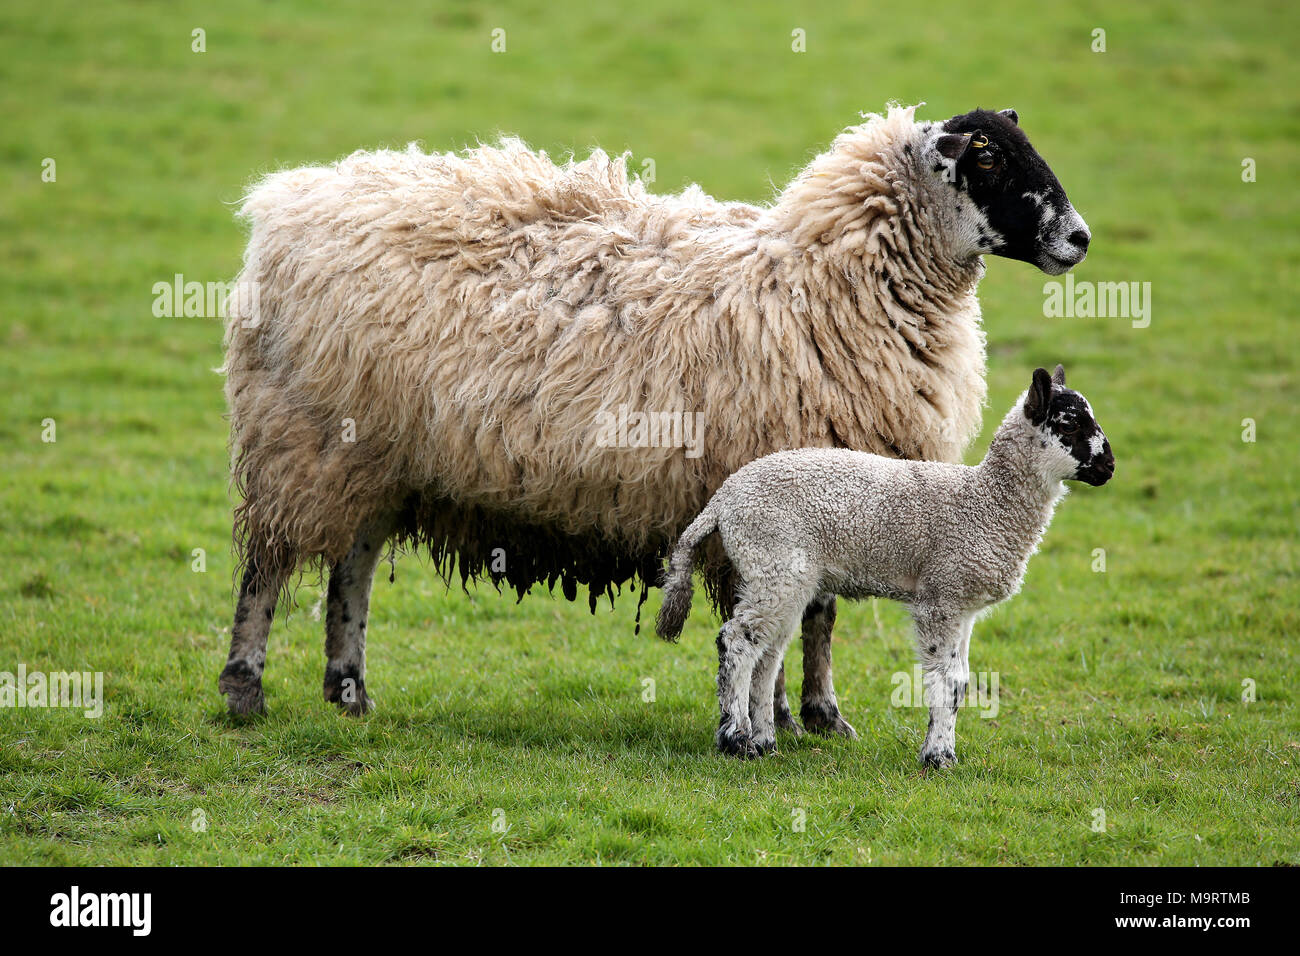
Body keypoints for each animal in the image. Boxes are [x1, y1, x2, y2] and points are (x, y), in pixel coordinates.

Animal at [218, 104, 1092, 722]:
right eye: (987, 157)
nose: (1080, 238)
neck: (826, 281)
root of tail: (289, 200)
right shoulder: (793, 482)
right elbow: (792, 616)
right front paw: (785, 713)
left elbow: (820, 614)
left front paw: (819, 714)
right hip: (301, 435)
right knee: (268, 565)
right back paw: (244, 689)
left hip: (376, 453)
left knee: (353, 563)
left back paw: (349, 688)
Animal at [656, 365, 1114, 765]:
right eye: (1069, 425)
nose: (1109, 467)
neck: (984, 502)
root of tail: (722, 501)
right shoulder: (941, 597)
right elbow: (946, 682)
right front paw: (938, 758)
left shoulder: (963, 606)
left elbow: (962, 682)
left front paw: (945, 752)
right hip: (773, 562)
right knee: (736, 642)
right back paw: (737, 741)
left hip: (782, 577)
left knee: (766, 654)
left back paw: (765, 741)